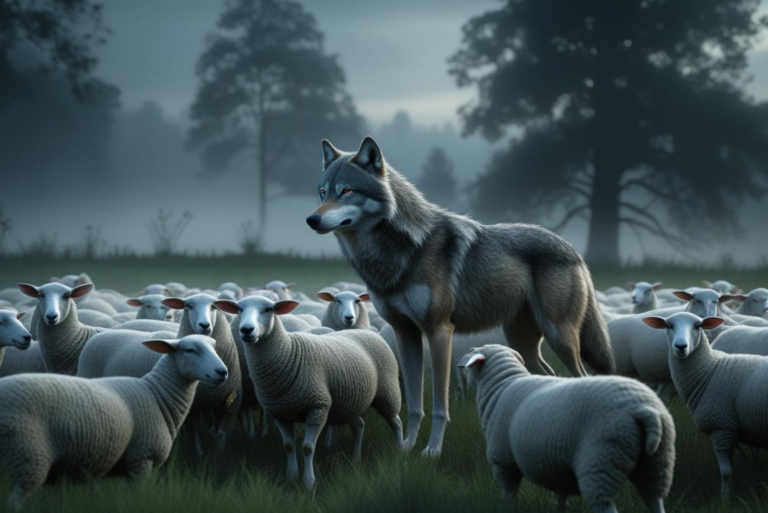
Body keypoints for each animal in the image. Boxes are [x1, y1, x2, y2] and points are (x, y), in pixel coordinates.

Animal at [307, 136, 613, 457]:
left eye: (346, 191)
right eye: (323, 192)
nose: (311, 219)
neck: (401, 252)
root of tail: (574, 250)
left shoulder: (440, 331)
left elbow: (440, 406)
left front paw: (432, 451)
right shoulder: (406, 334)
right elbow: (413, 404)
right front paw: (406, 447)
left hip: (559, 337)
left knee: (582, 377)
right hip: (523, 342)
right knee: (548, 374)